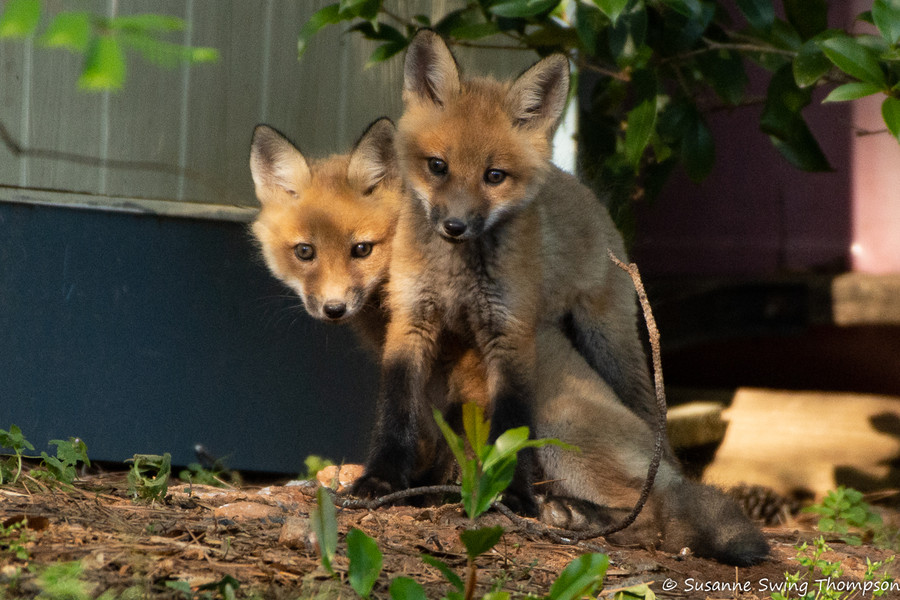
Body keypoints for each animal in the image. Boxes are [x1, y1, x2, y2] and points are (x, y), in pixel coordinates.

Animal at [247, 120, 769, 566]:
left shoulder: (459, 361)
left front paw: (418, 490)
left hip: (570, 409)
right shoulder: (421, 363)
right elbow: (429, 435)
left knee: (655, 517)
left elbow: (446, 440)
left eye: (361, 249)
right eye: (305, 253)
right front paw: (418, 490)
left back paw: (574, 515)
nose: (333, 308)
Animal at [352, 29, 657, 513]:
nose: (454, 226)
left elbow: (511, 425)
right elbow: (396, 409)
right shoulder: (412, 320)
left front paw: (512, 494)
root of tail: (578, 183)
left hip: (610, 347)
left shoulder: (509, 332)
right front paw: (382, 479)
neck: (456, 278)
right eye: (437, 166)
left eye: (494, 176)